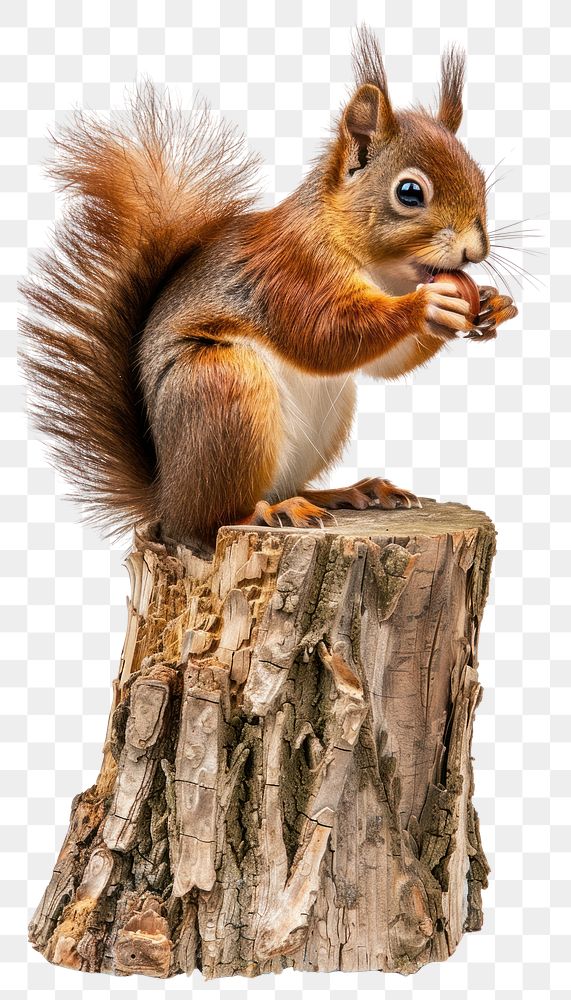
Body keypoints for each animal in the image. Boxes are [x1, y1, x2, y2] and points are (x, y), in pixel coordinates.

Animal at [20, 27, 517, 550]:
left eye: (480, 177)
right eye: (409, 192)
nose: (475, 251)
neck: (378, 270)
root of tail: (165, 498)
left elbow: (382, 362)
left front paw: (493, 304)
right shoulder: (287, 273)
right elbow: (324, 335)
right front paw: (429, 305)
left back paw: (347, 493)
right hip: (223, 390)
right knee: (206, 522)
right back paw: (268, 512)